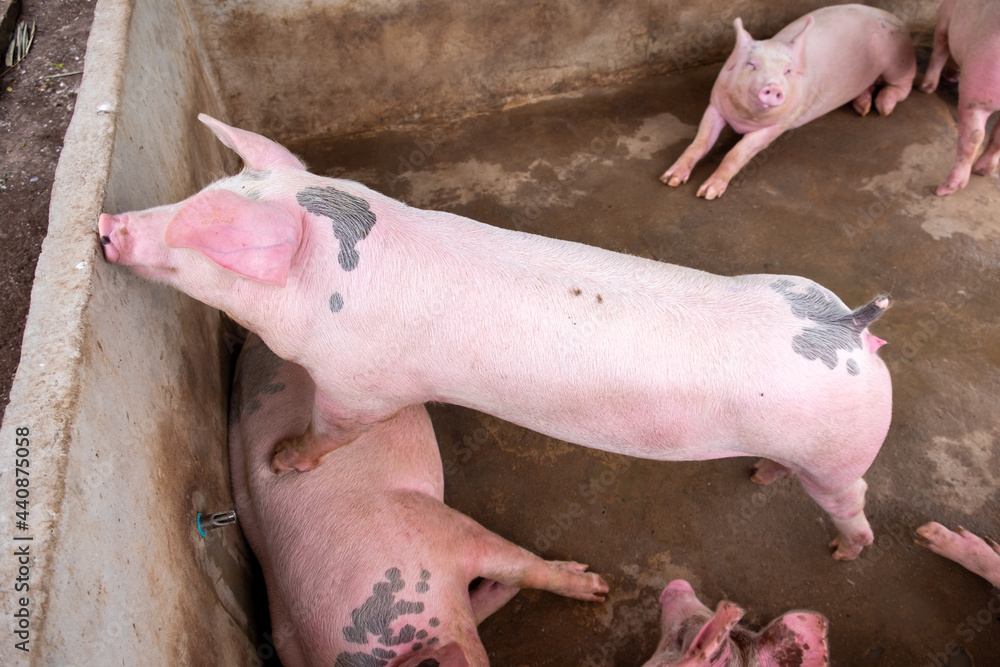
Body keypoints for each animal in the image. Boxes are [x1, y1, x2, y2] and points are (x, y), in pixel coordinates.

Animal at [98, 114, 893, 560]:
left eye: (216, 241)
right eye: (200, 196)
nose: (107, 225)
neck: (335, 288)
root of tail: (848, 326)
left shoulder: (360, 386)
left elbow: (331, 432)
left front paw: (284, 460)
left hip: (838, 453)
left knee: (852, 499)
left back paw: (844, 553)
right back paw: (759, 476)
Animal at [660, 5, 916, 199]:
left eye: (788, 71)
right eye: (751, 64)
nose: (773, 87)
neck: (745, 119)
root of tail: (896, 19)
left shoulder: (777, 126)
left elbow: (737, 153)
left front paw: (708, 194)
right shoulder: (714, 106)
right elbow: (699, 143)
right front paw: (670, 180)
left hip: (898, 63)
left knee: (902, 87)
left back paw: (882, 108)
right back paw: (863, 107)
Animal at [919, 0, 1000, 195]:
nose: (951, 77)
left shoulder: (944, 19)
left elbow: (940, 47)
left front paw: (925, 89)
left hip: (978, 78)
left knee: (974, 135)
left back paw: (943, 189)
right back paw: (982, 171)